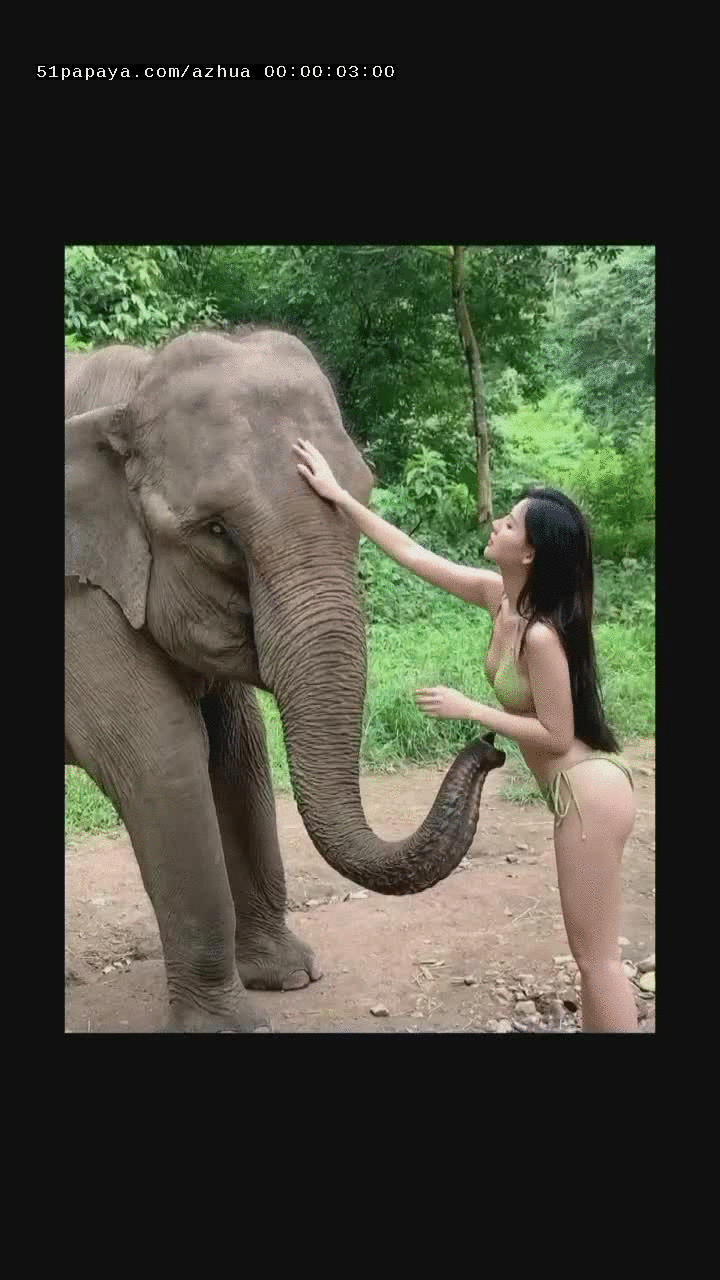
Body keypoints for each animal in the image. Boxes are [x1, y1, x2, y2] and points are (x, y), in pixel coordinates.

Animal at [65, 327, 505, 1032]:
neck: (126, 390)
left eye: (362, 495)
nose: (489, 747)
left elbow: (238, 753)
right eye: (216, 531)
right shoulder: (76, 601)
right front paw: (229, 1028)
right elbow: (165, 762)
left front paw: (290, 978)